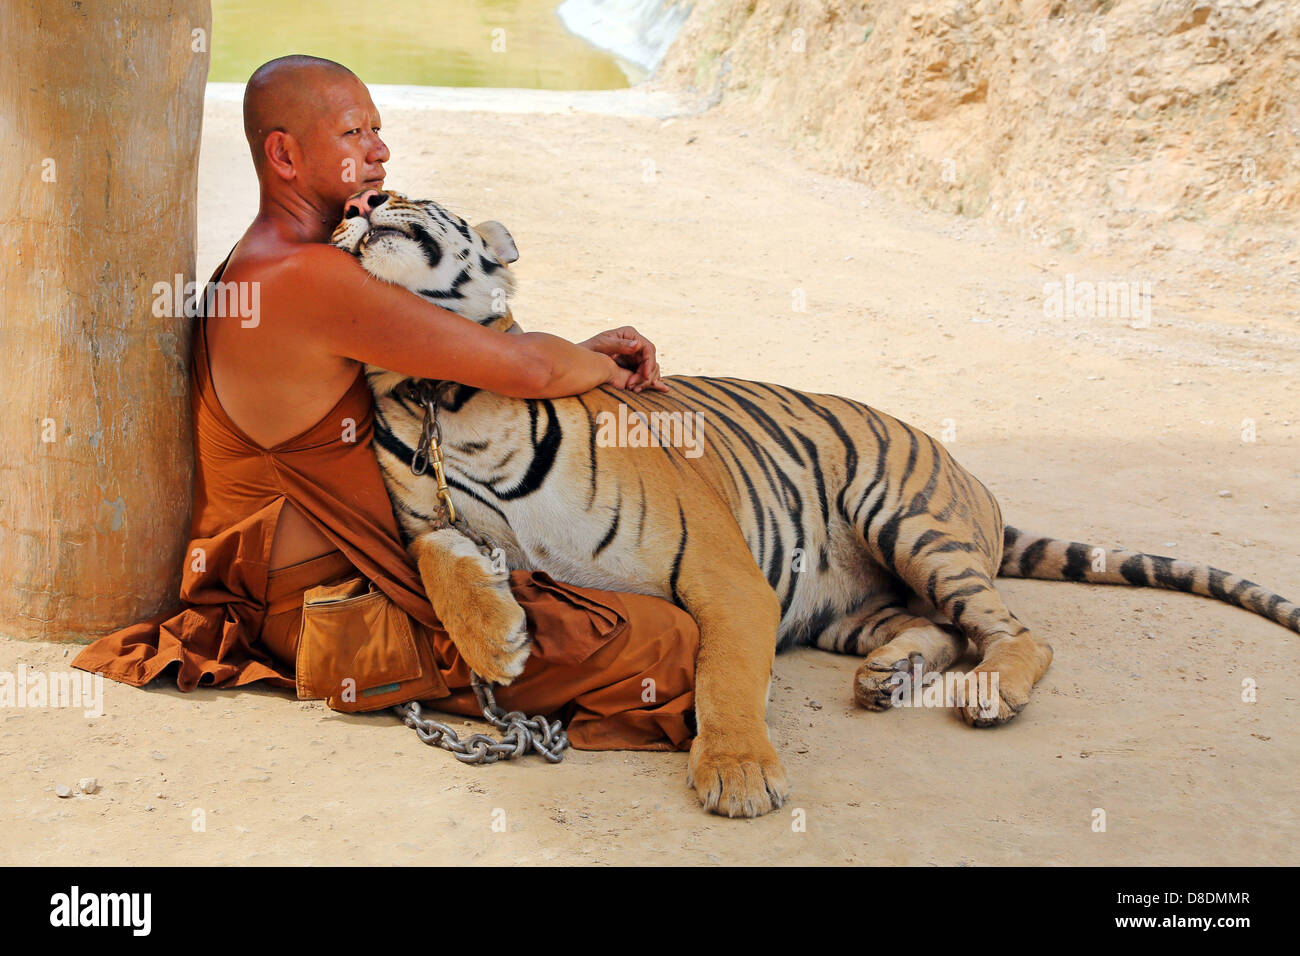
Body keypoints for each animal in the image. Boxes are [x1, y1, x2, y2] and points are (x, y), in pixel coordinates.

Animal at [331, 189, 1300, 819]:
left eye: (415, 195)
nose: (368, 197)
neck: (441, 391)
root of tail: (974, 481)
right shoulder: (429, 518)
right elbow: (436, 555)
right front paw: (497, 638)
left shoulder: (721, 569)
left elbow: (725, 676)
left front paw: (737, 774)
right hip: (847, 607)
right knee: (941, 629)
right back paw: (888, 676)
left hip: (905, 520)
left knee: (1015, 632)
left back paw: (987, 692)